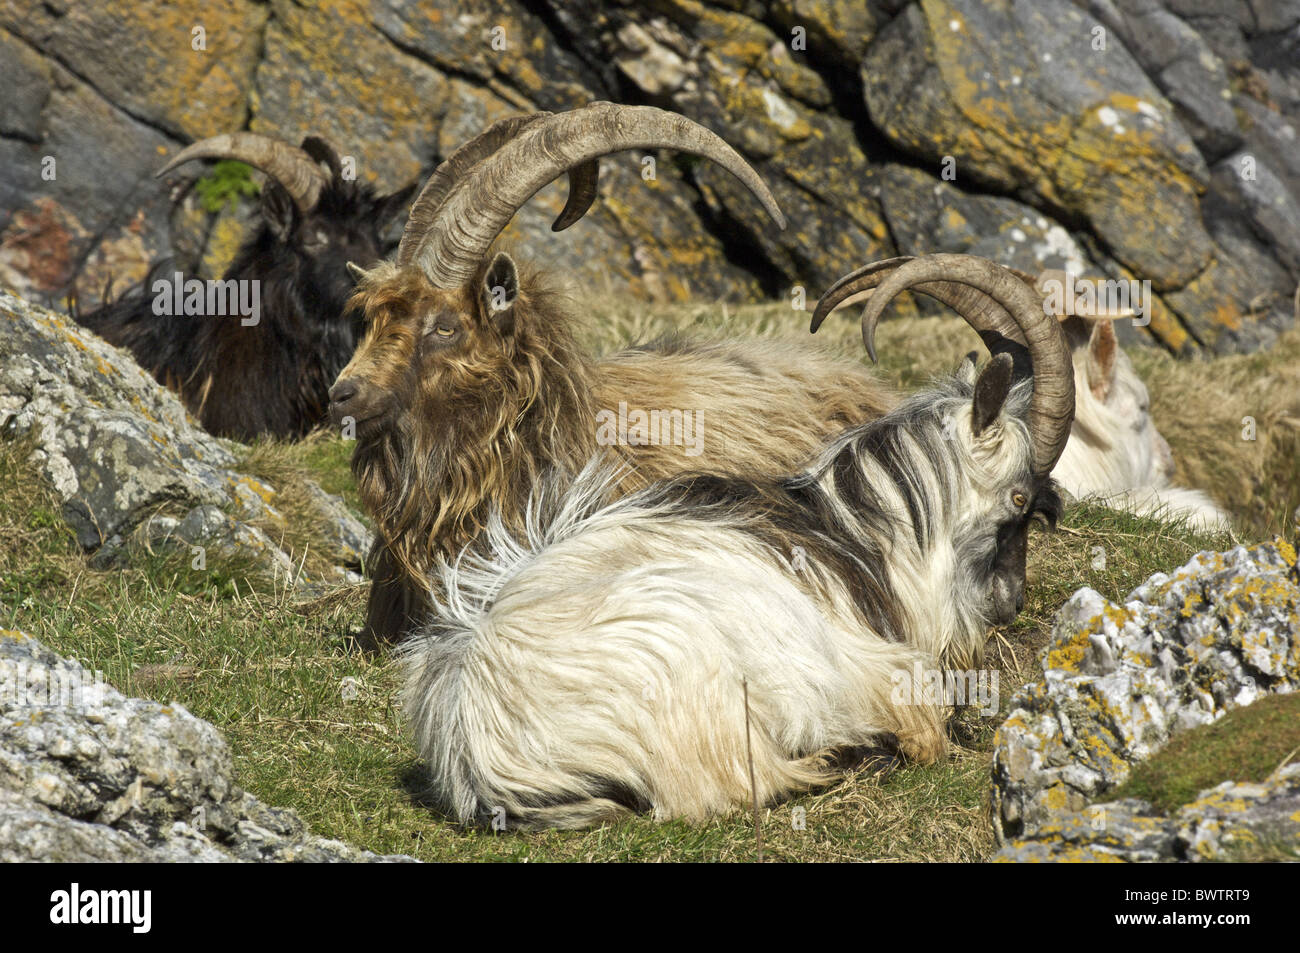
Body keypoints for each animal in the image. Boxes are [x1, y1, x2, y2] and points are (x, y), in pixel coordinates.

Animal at [401, 254, 1075, 829]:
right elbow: (926, 735)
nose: (1011, 602)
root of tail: (476, 746)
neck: (870, 541)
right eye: (1020, 499)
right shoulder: (882, 676)